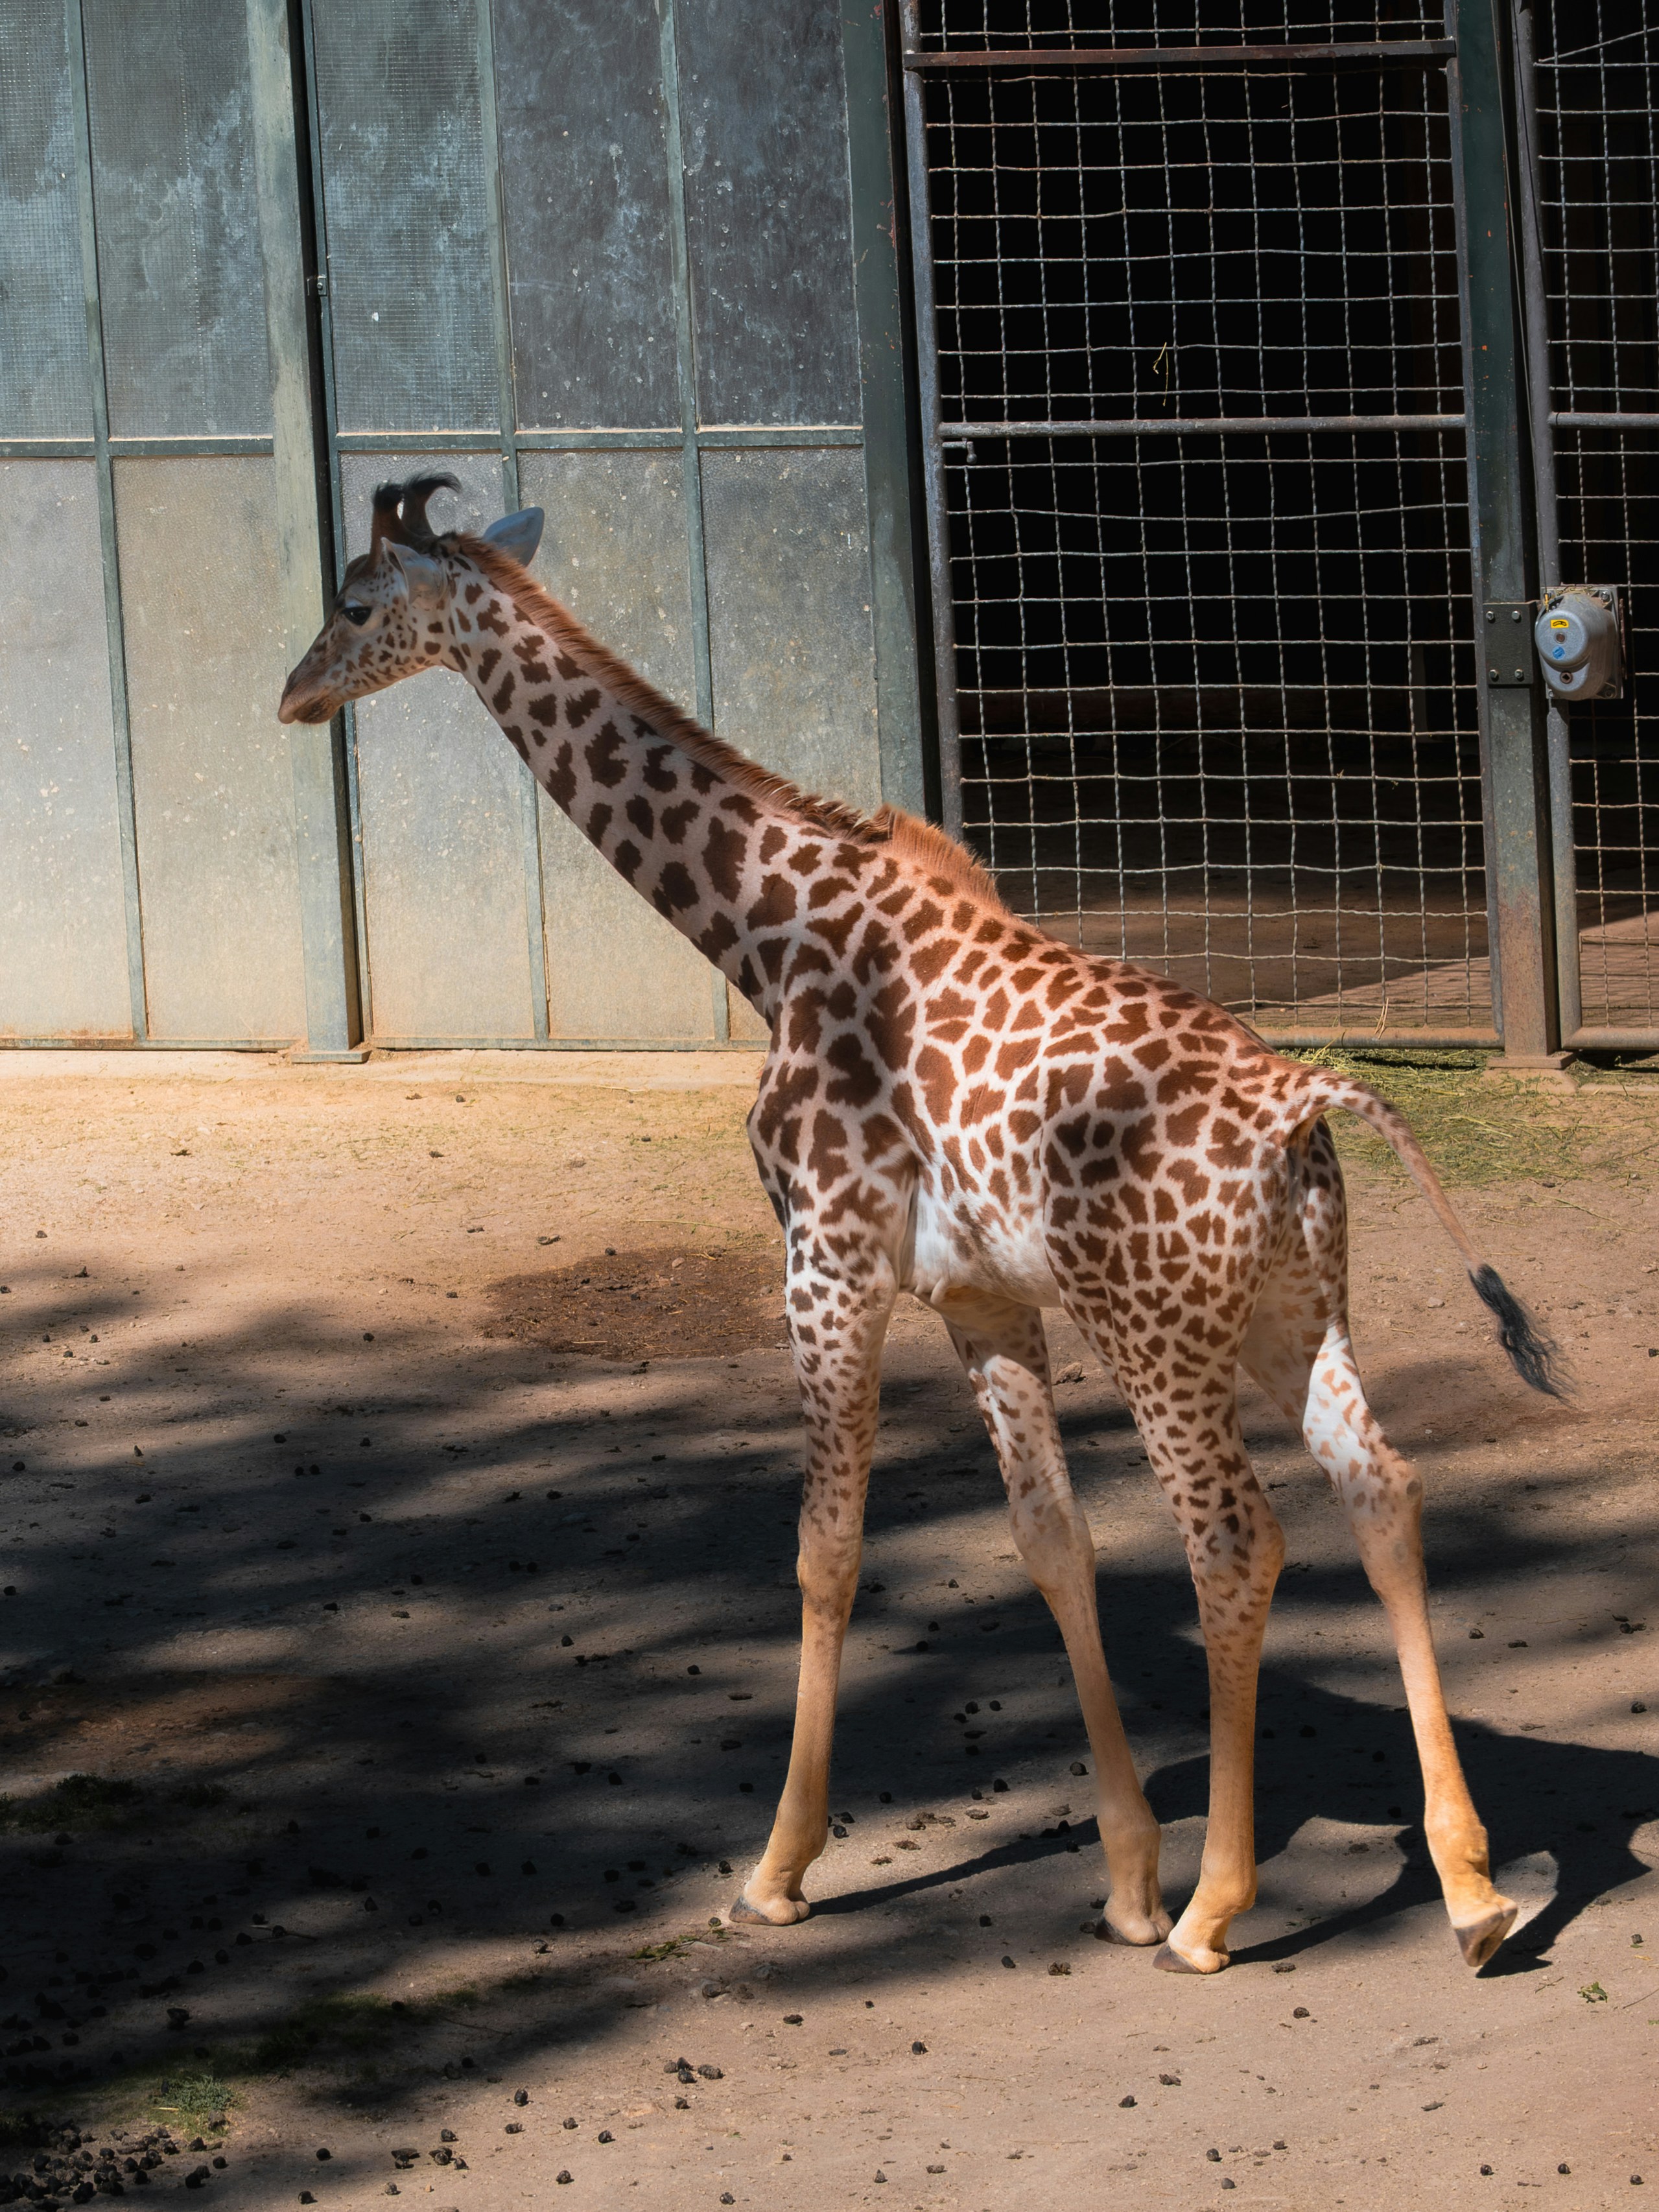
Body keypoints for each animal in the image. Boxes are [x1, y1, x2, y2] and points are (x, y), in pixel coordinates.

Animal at [279, 476, 1562, 1975]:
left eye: (353, 601)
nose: (293, 692)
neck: (767, 934)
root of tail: (1307, 1100)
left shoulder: (825, 1257)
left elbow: (825, 1549)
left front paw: (778, 1869)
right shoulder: (977, 1296)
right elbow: (1049, 1541)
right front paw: (1123, 1876)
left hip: (1160, 1334)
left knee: (1234, 1542)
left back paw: (1218, 1910)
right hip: (1292, 1316)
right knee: (1380, 1492)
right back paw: (1468, 1889)